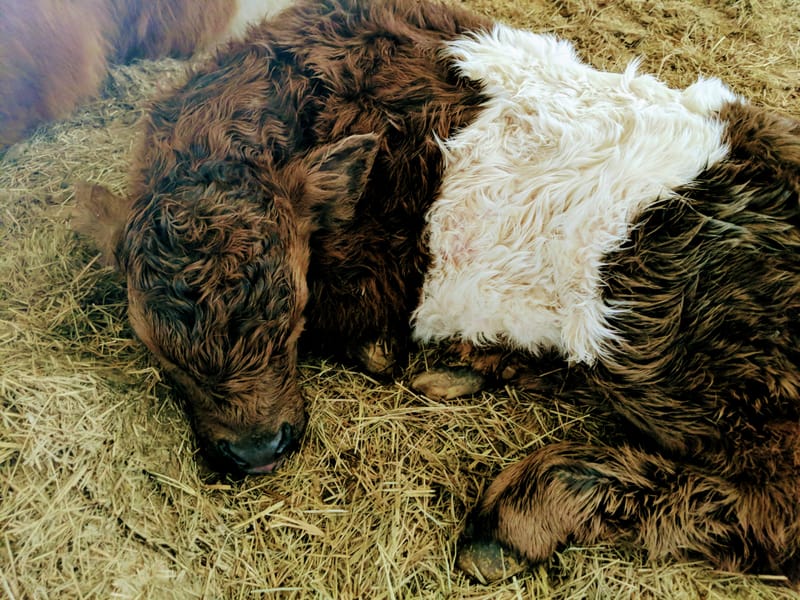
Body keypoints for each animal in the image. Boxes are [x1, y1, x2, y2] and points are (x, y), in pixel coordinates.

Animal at [73, 0, 800, 585]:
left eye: (294, 313)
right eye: (153, 347)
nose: (256, 452)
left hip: (671, 355)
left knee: (772, 503)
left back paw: (513, 520)